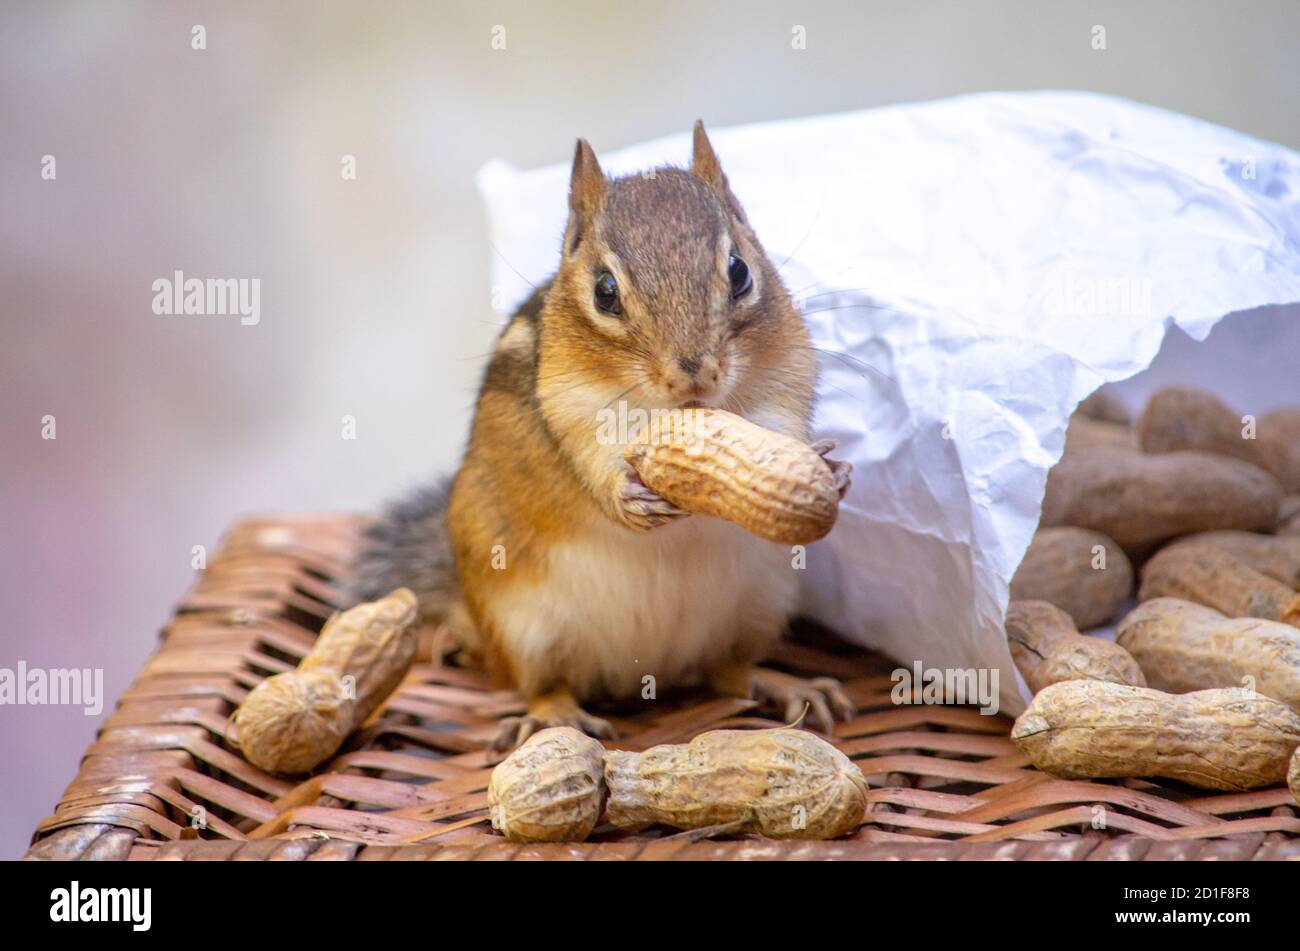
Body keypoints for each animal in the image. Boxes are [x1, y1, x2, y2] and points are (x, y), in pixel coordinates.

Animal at [351, 122, 854, 748]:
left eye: (739, 271)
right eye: (605, 290)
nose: (694, 374)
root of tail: (646, 672)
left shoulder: (786, 376)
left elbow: (783, 426)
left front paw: (828, 468)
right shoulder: (569, 407)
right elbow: (591, 461)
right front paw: (626, 499)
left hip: (761, 603)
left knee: (728, 671)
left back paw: (788, 684)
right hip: (521, 625)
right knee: (539, 682)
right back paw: (555, 715)